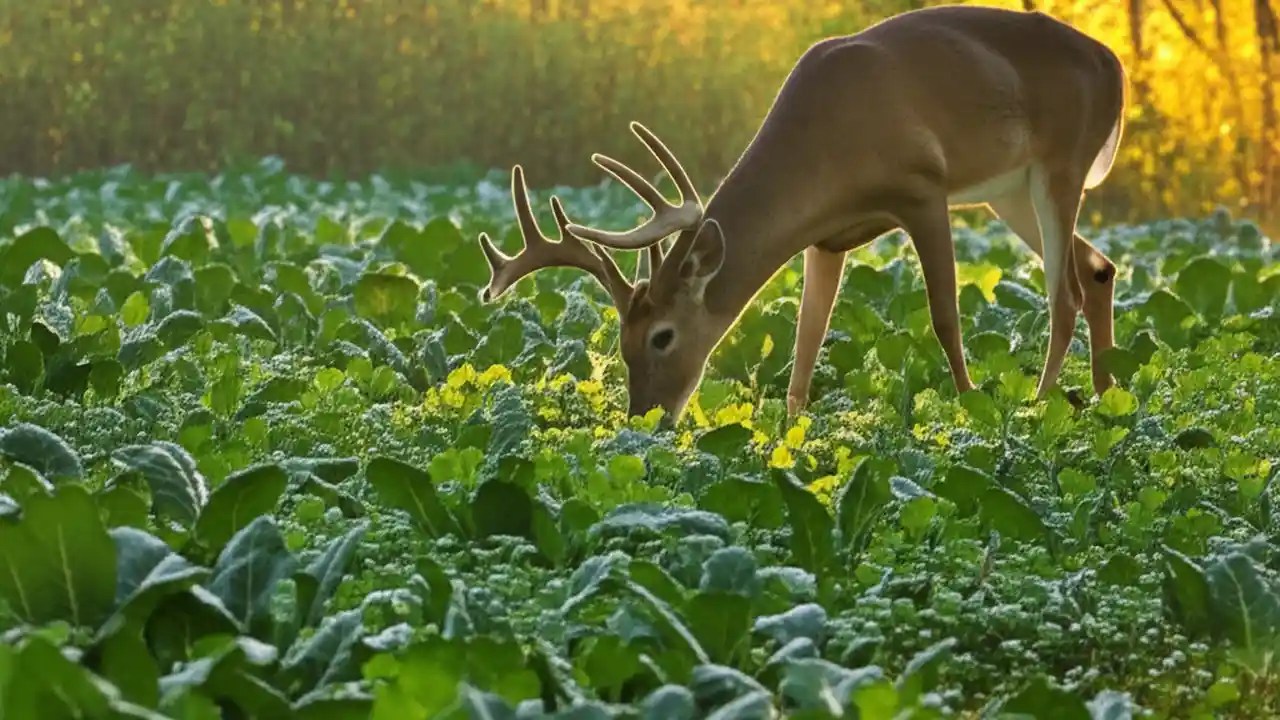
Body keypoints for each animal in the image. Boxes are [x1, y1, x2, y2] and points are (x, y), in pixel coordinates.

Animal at [477, 4, 1126, 425]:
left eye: (662, 336)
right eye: (620, 343)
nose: (644, 420)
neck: (825, 141)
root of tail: (1112, 64)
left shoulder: (922, 188)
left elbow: (945, 315)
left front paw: (971, 408)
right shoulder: (826, 239)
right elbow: (806, 338)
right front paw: (788, 433)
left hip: (1060, 167)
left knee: (1063, 292)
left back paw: (1040, 403)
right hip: (1010, 192)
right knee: (1098, 268)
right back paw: (1106, 396)